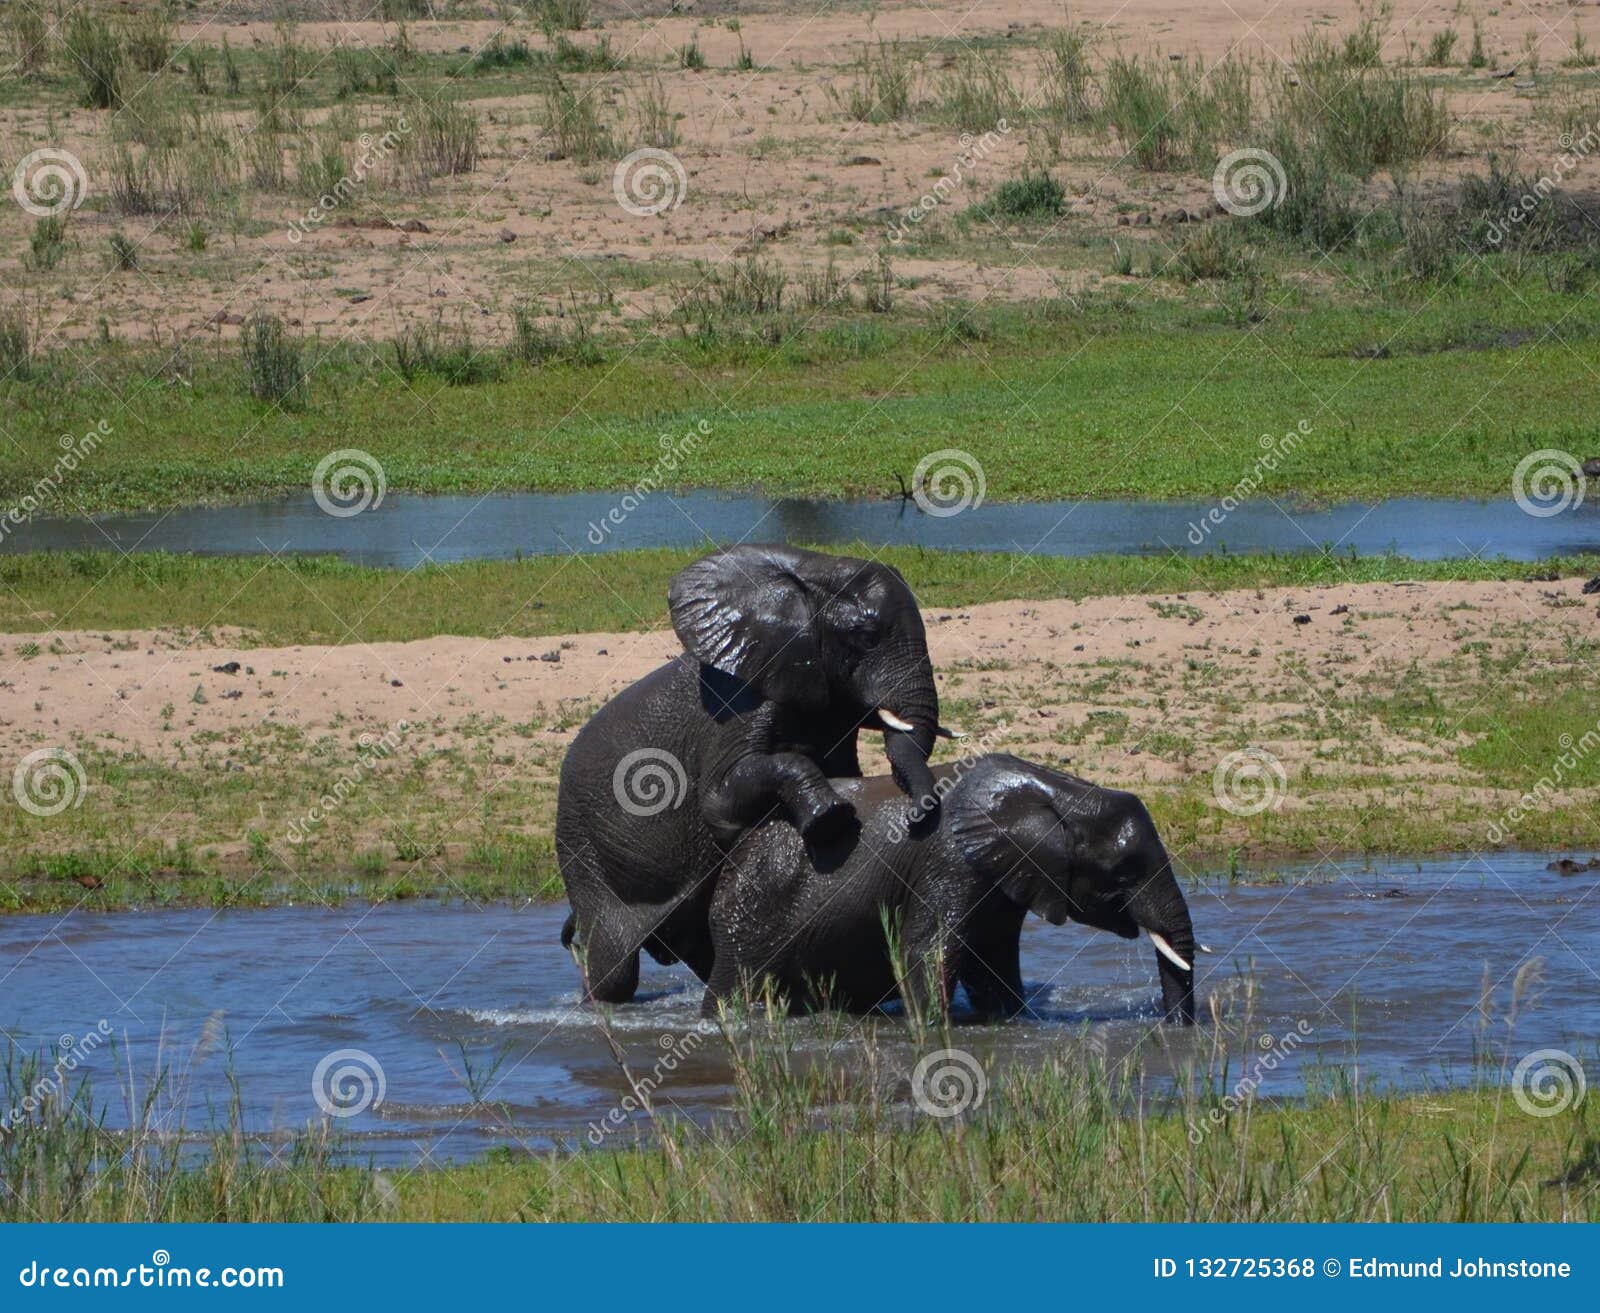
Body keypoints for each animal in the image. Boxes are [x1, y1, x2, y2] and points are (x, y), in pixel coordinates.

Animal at [556, 543, 941, 1003]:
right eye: (865, 638)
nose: (919, 815)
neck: (813, 570)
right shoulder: (738, 706)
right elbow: (719, 805)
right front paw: (830, 817)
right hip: (582, 847)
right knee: (613, 974)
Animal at [702, 754, 1198, 1025]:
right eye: (1123, 874)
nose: (1175, 1030)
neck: (1055, 791)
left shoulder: (1004, 879)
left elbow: (994, 967)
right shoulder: (950, 864)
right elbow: (926, 952)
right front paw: (931, 1030)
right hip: (750, 921)